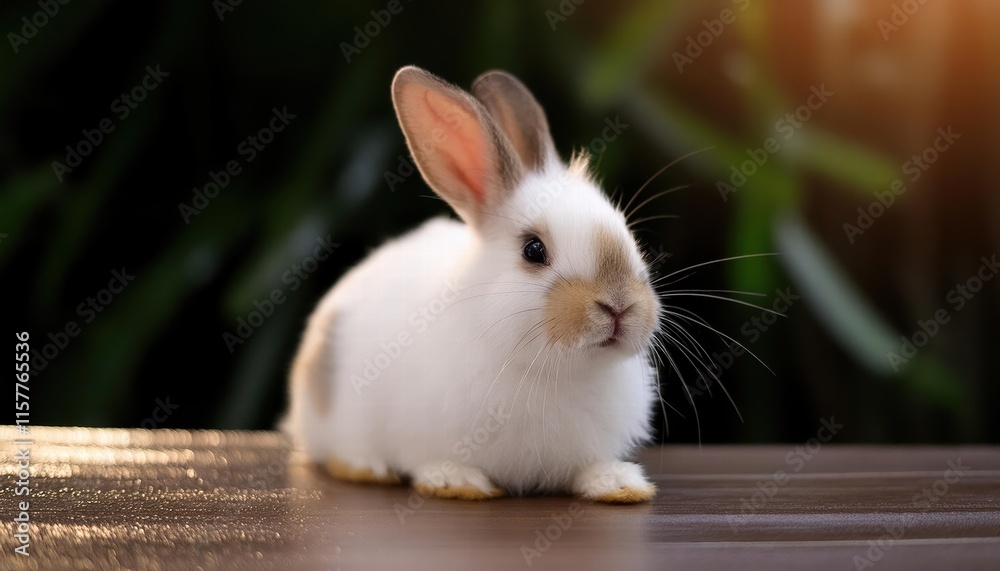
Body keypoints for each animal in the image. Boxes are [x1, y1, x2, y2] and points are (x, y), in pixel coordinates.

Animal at [282, 65, 661, 503]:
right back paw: (368, 469)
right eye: (534, 250)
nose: (619, 305)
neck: (550, 372)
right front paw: (456, 482)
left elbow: (589, 469)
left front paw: (620, 485)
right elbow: (434, 460)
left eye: (629, 237)